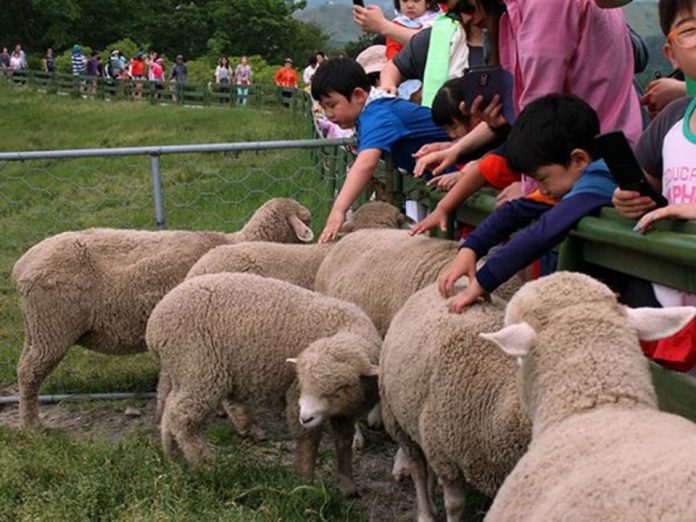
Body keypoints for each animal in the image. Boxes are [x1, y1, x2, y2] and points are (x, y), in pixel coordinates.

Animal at [12, 198, 313, 428]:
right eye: (307, 220)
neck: (240, 242)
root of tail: (22, 265)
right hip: (52, 327)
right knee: (29, 373)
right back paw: (31, 424)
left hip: (36, 328)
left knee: (23, 366)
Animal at [146, 273, 381, 497]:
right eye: (303, 382)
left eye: (341, 387)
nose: (307, 417)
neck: (345, 327)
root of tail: (154, 325)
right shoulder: (296, 396)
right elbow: (308, 440)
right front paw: (305, 482)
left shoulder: (346, 411)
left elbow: (343, 441)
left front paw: (347, 485)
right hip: (201, 371)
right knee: (181, 418)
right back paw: (204, 463)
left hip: (183, 373)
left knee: (170, 410)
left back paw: (174, 458)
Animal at [379, 282, 531, 522]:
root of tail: (431, 287)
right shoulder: (445, 457)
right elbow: (454, 505)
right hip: (397, 420)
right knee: (417, 468)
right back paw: (425, 513)